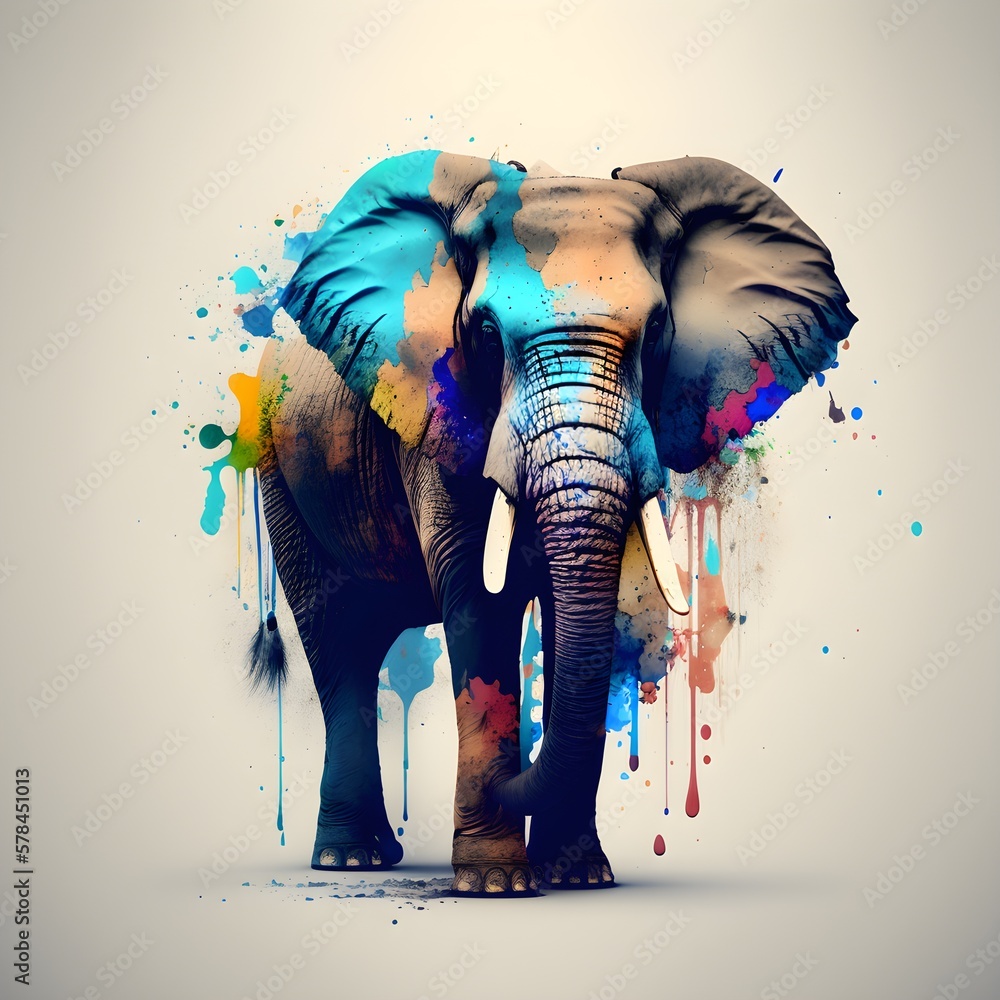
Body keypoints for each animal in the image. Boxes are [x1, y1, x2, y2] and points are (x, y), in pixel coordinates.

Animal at [246, 149, 855, 896]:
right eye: (483, 333)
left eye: (659, 331)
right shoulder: (443, 412)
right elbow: (480, 605)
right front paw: (495, 885)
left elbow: (580, 621)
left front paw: (580, 878)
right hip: (282, 470)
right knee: (340, 643)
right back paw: (351, 859)